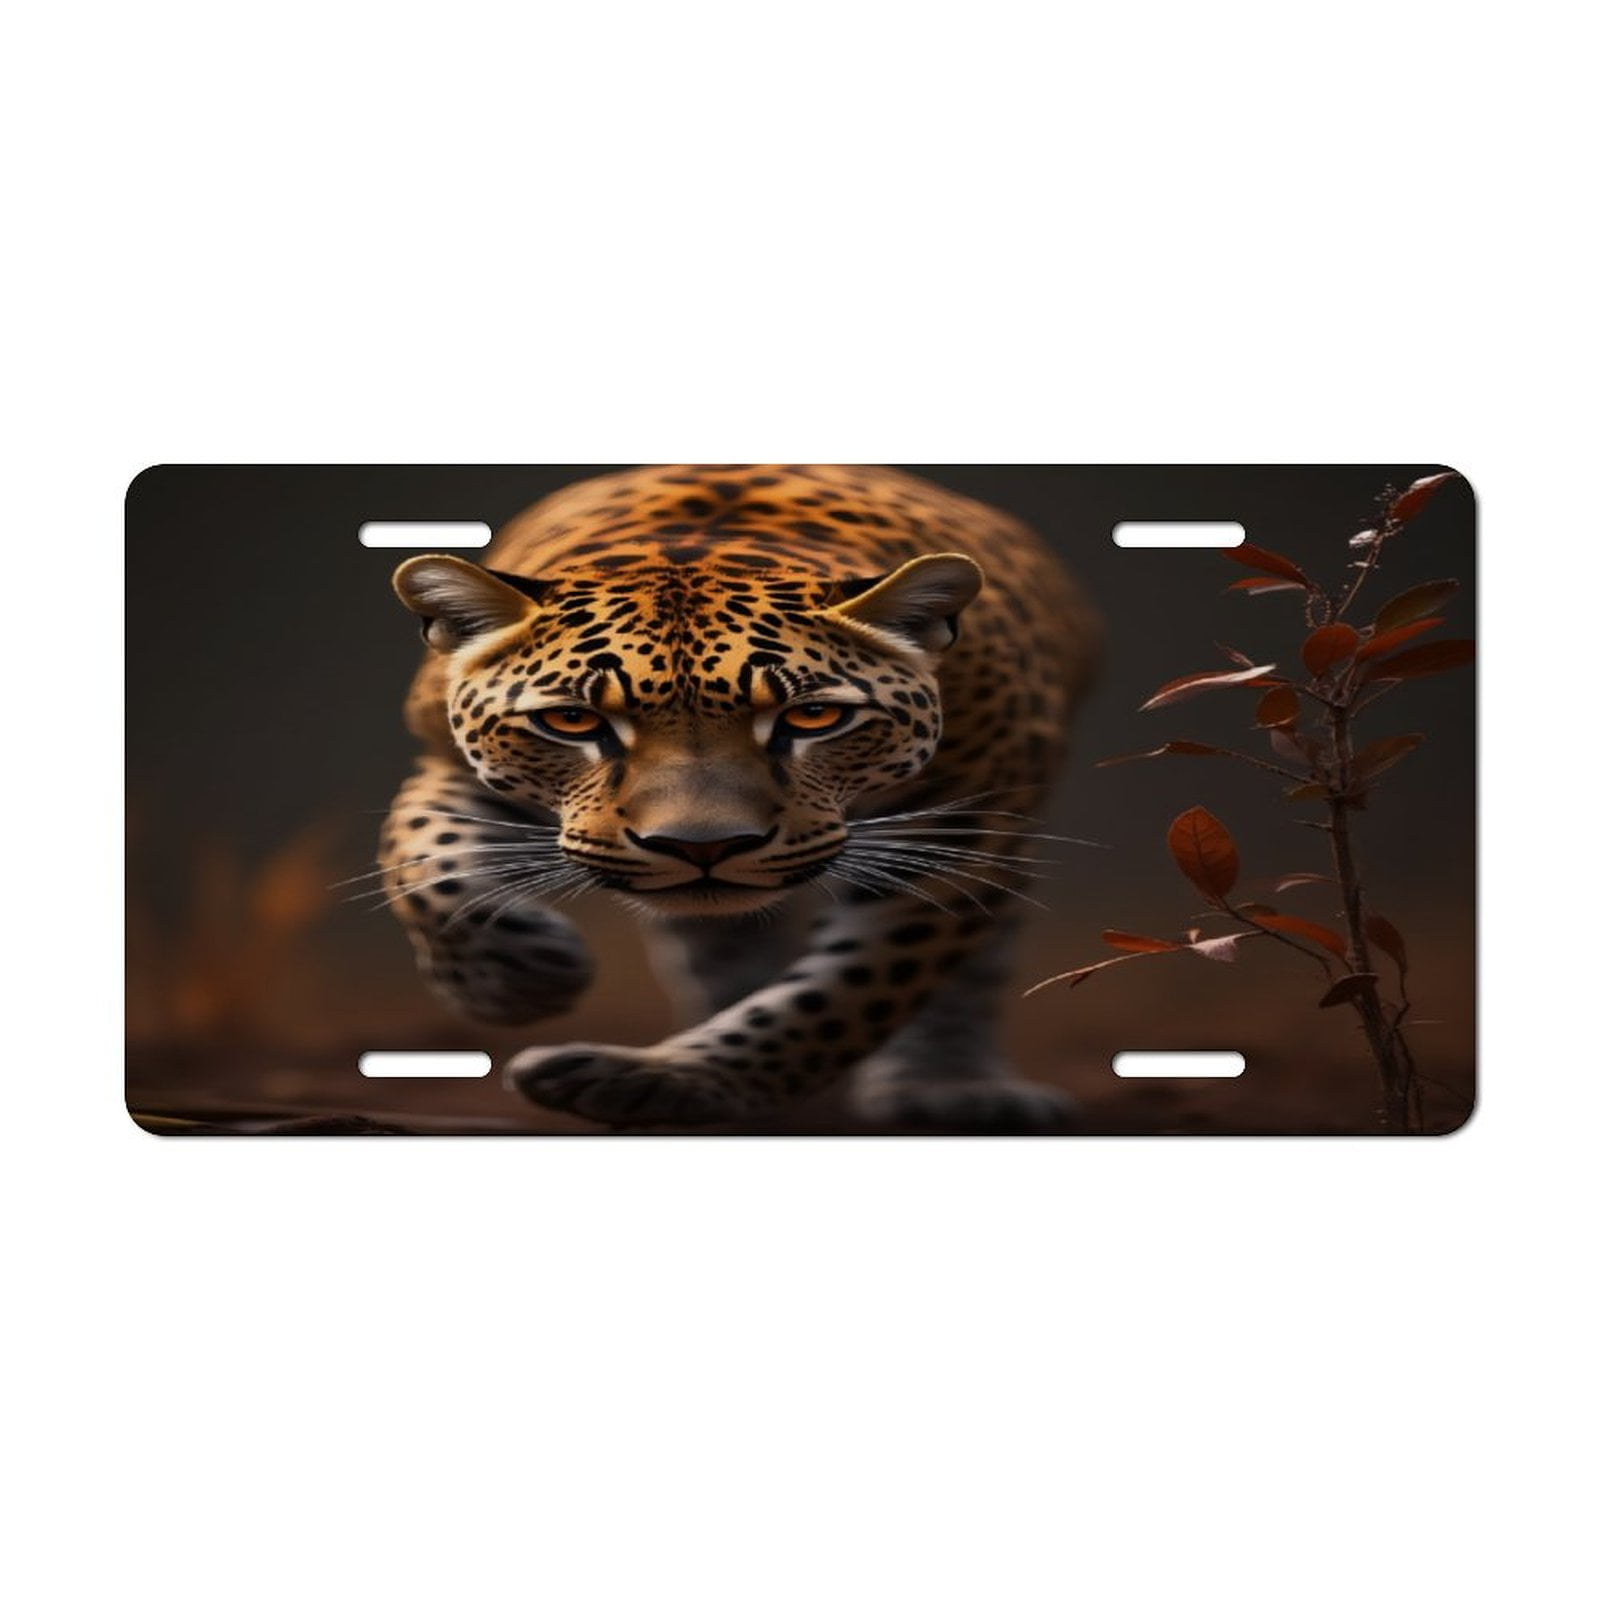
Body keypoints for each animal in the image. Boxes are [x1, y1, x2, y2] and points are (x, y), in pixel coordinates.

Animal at [376, 465, 1100, 1131]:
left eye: (813, 717)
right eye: (573, 722)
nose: (704, 847)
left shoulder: (957, 828)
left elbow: (845, 993)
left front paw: (664, 1082)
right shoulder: (442, 760)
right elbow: (427, 867)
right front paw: (517, 982)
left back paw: (950, 1086)